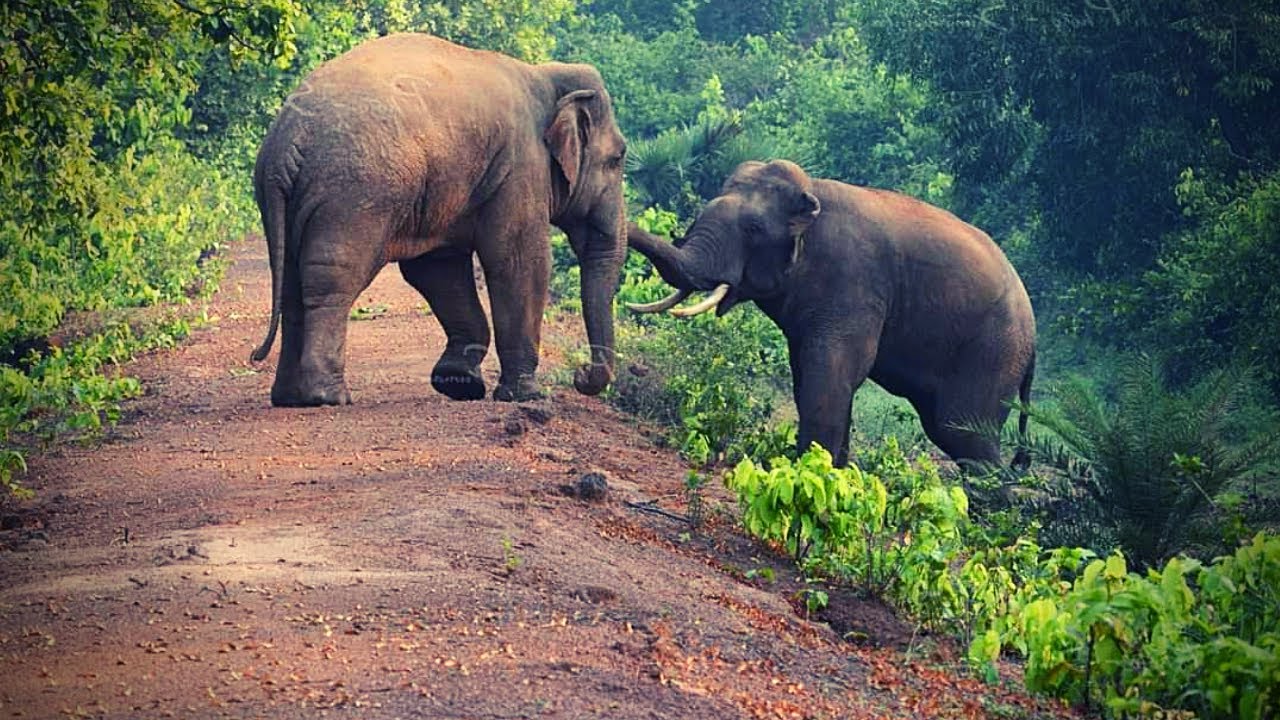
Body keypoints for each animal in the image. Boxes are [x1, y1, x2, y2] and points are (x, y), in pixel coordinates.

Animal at [250, 33, 627, 406]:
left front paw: (460, 383)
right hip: (351, 193)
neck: (544, 73)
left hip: (286, 199)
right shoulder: (521, 165)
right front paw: (527, 396)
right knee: (332, 277)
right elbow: (519, 261)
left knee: (290, 280)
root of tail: (287, 140)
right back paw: (327, 397)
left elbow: (437, 269)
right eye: (617, 159)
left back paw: (290, 398)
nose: (581, 374)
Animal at [626, 160, 1036, 467]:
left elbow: (831, 373)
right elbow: (811, 377)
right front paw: (833, 471)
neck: (812, 194)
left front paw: (807, 472)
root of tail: (1033, 337)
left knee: (961, 432)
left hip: (992, 353)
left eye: (754, 228)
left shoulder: (853, 281)